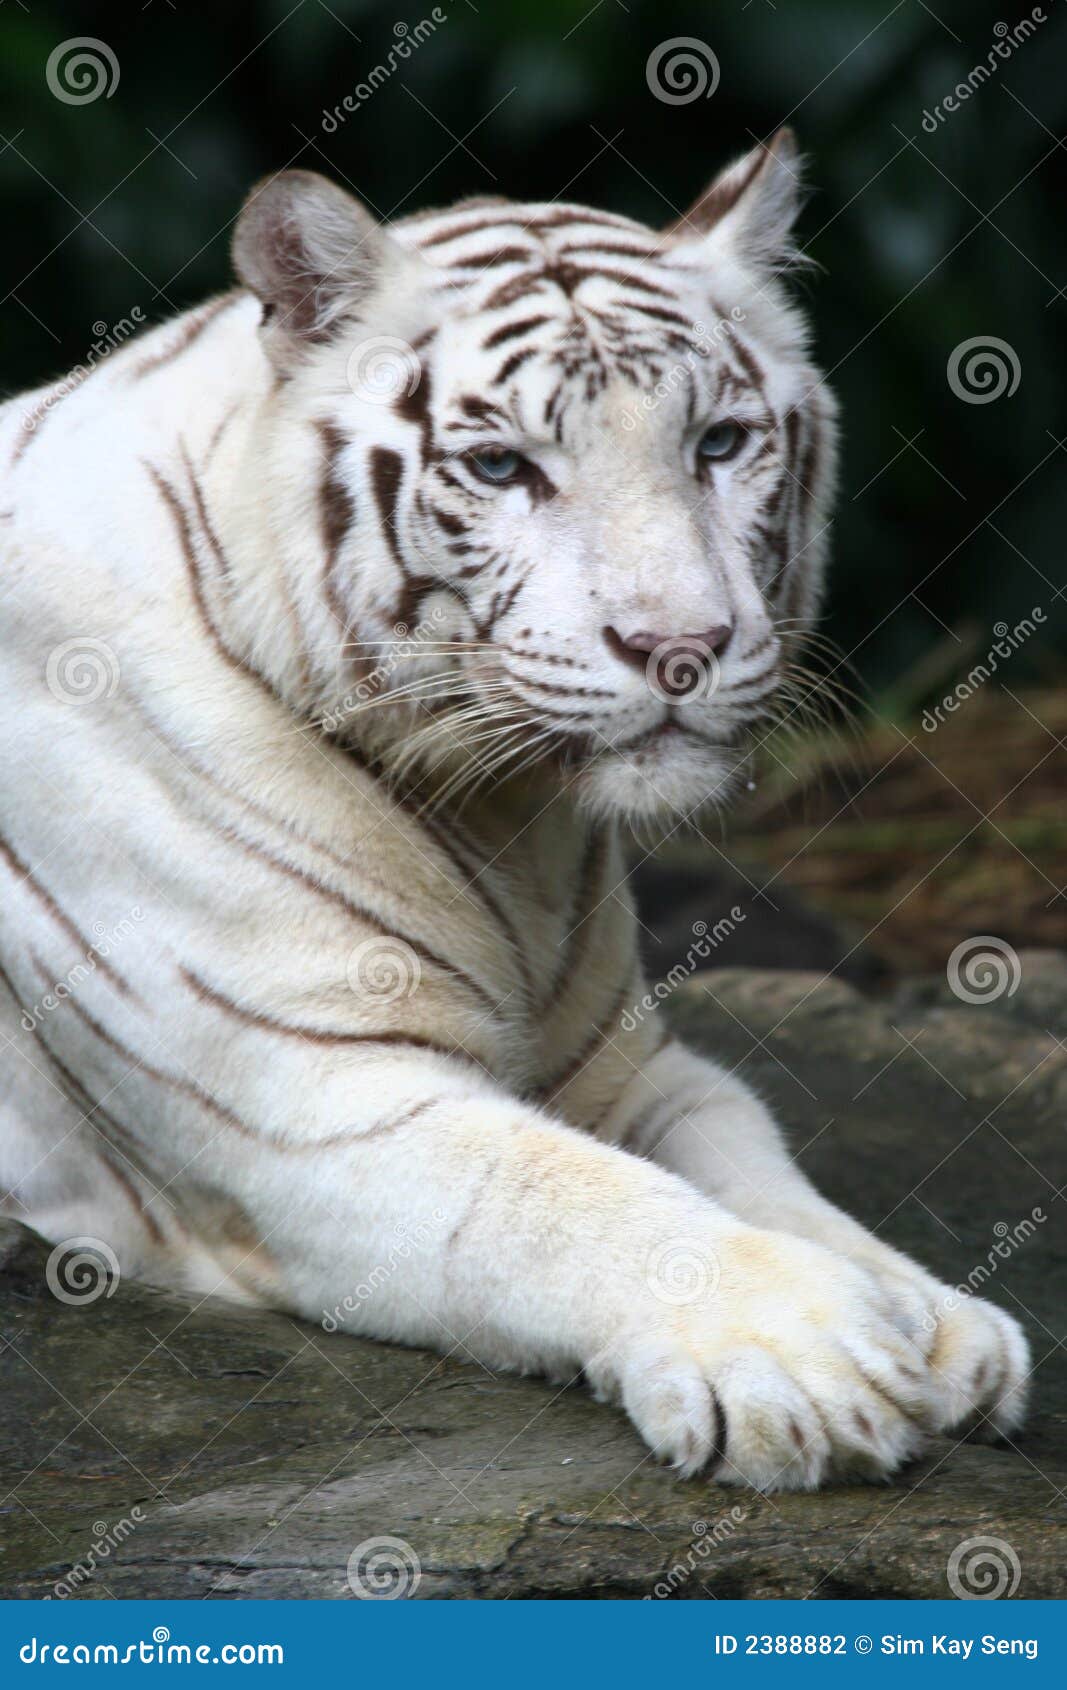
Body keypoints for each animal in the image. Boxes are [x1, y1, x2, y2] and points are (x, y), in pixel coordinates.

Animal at [0, 130, 1029, 1492]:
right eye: (501, 468)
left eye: (717, 443)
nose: (680, 646)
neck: (513, 826)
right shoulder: (304, 1100)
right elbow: (570, 1201)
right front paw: (804, 1356)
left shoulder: (629, 1066)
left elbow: (757, 1165)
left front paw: (930, 1317)